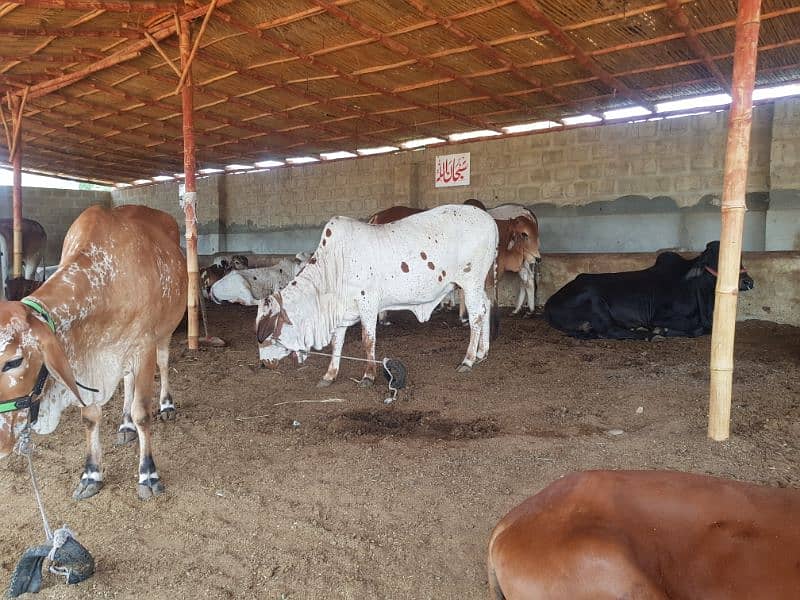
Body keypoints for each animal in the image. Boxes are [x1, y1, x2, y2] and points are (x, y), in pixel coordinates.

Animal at [0, 205, 187, 501]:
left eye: (13, 362)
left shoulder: (143, 346)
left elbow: (142, 412)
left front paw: (148, 474)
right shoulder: (88, 365)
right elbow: (90, 417)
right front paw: (91, 474)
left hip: (165, 330)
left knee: (164, 363)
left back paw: (166, 405)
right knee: (128, 381)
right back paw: (125, 424)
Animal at [256, 205, 498, 386]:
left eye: (266, 335)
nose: (264, 364)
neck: (334, 265)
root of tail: (491, 220)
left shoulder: (368, 303)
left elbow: (368, 340)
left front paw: (368, 375)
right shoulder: (342, 310)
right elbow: (337, 342)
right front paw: (330, 374)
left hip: (470, 281)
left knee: (476, 316)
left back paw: (468, 359)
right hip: (477, 285)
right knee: (486, 306)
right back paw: (482, 353)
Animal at [544, 241, 754, 340]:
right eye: (717, 261)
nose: (748, 282)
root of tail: (549, 303)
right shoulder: (659, 316)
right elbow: (696, 329)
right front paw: (662, 331)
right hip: (595, 302)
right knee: (610, 331)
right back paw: (647, 334)